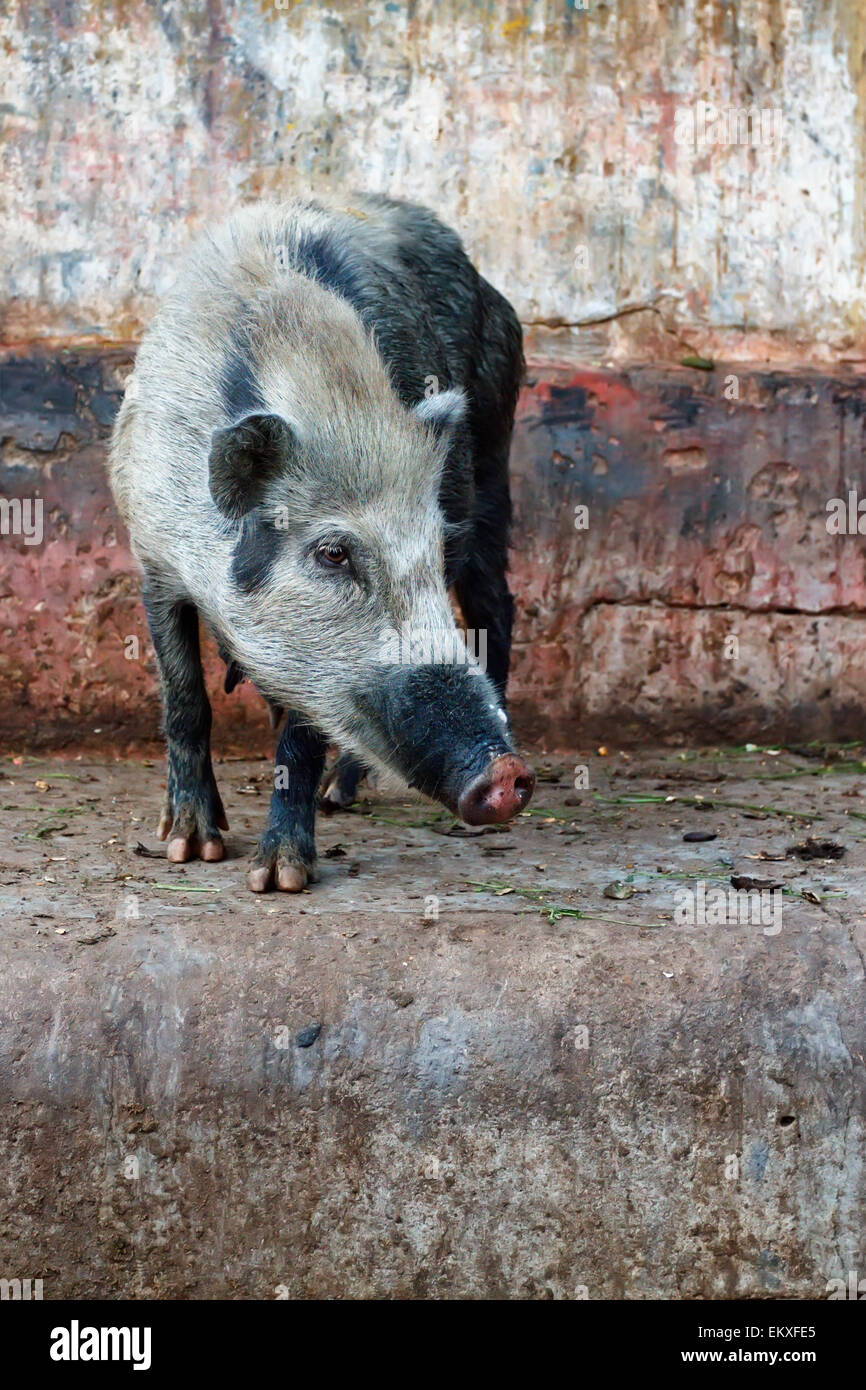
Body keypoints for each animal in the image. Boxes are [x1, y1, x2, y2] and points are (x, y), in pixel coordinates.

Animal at [109, 193, 535, 892]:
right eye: (333, 552)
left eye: (431, 544)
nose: (506, 775)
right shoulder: (154, 559)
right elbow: (185, 698)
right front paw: (190, 848)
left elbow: (302, 734)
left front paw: (277, 879)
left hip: (492, 469)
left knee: (498, 606)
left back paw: (341, 793)